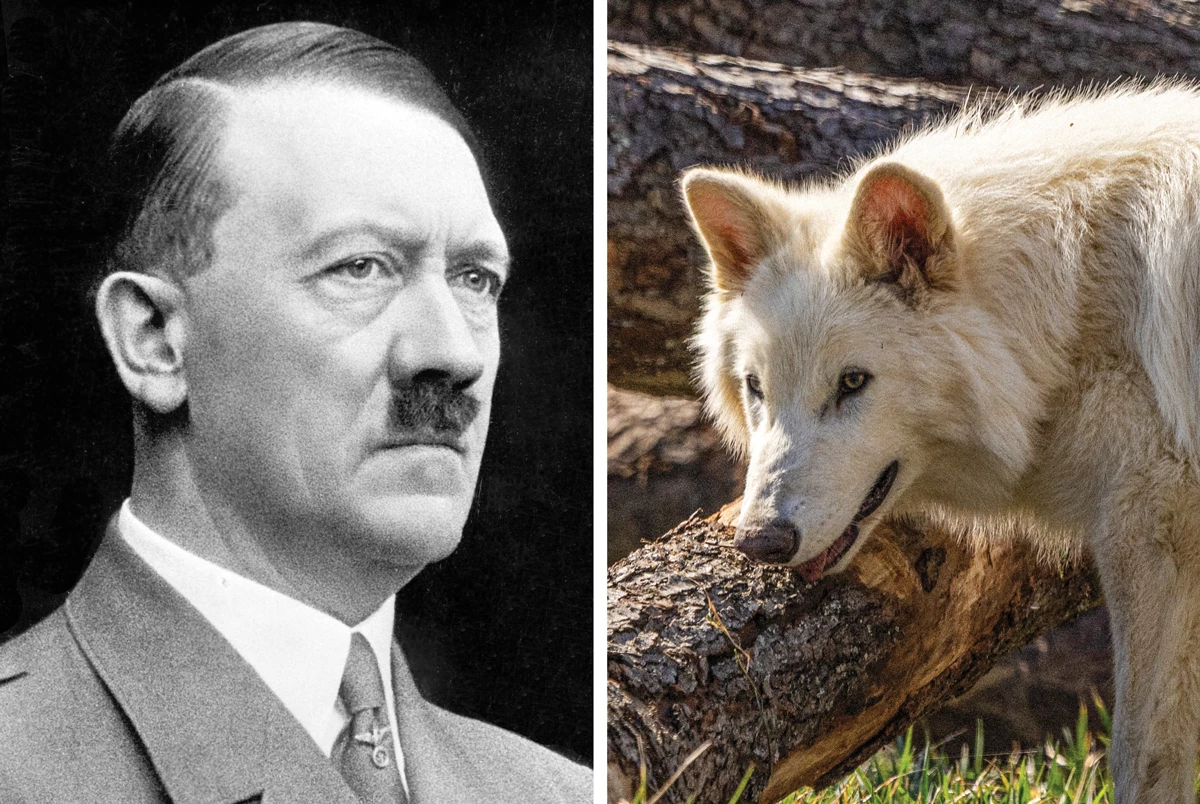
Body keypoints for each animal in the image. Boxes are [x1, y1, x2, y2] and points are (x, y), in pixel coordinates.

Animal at [682, 83, 1200, 804]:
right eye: (756, 387)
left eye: (852, 382)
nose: (762, 541)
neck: (1073, 304)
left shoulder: (1151, 533)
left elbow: (1143, 757)